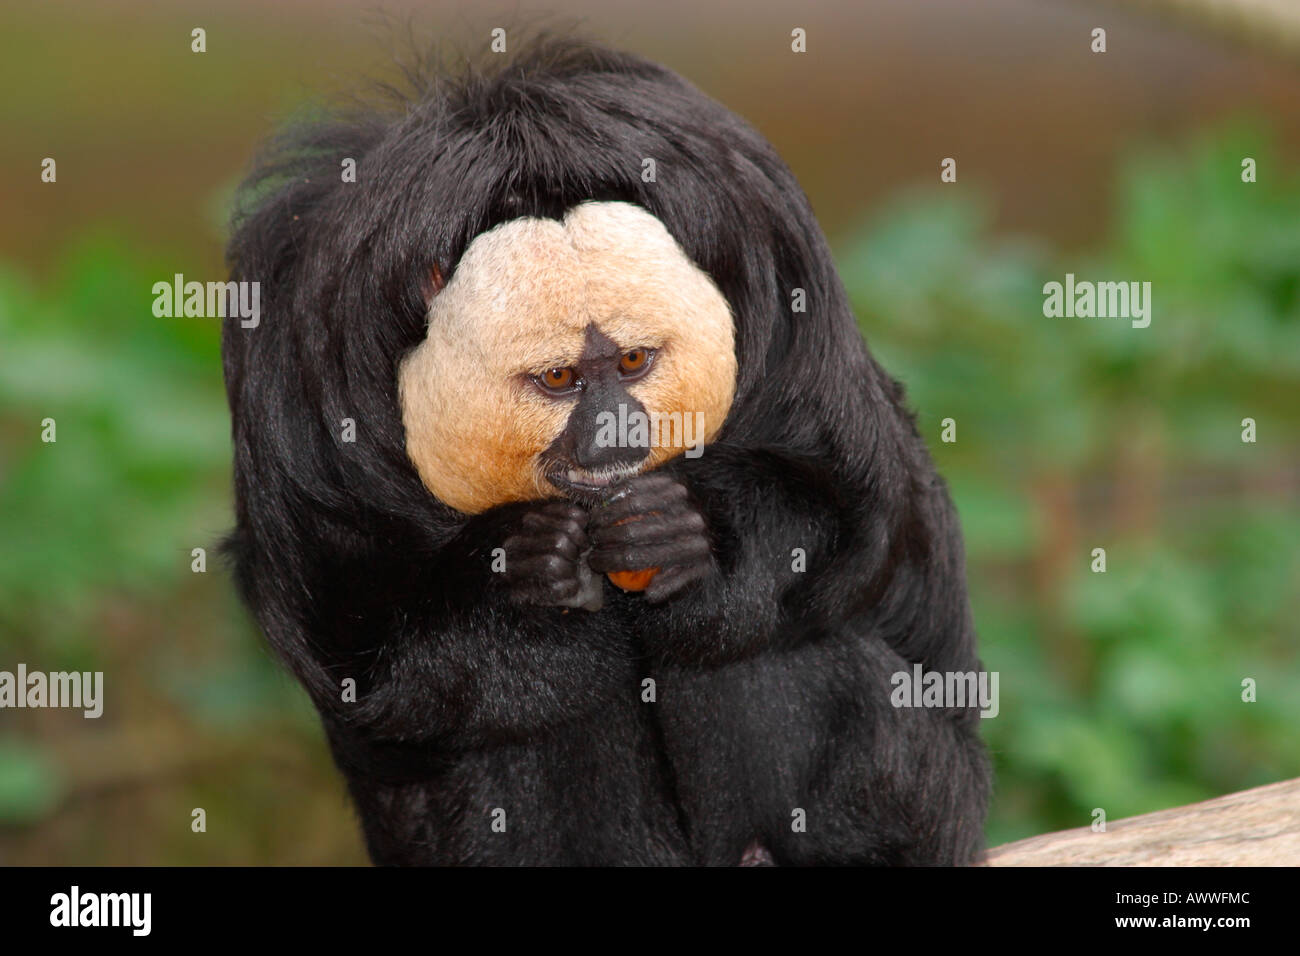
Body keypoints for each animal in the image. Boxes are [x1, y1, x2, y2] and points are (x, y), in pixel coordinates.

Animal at [222, 37, 991, 865]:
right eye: (560, 379)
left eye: (631, 363)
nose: (615, 434)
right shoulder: (300, 343)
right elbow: (349, 631)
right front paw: (517, 572)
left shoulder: (771, 242)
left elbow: (863, 507)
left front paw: (696, 530)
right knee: (544, 694)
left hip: (933, 798)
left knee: (760, 645)